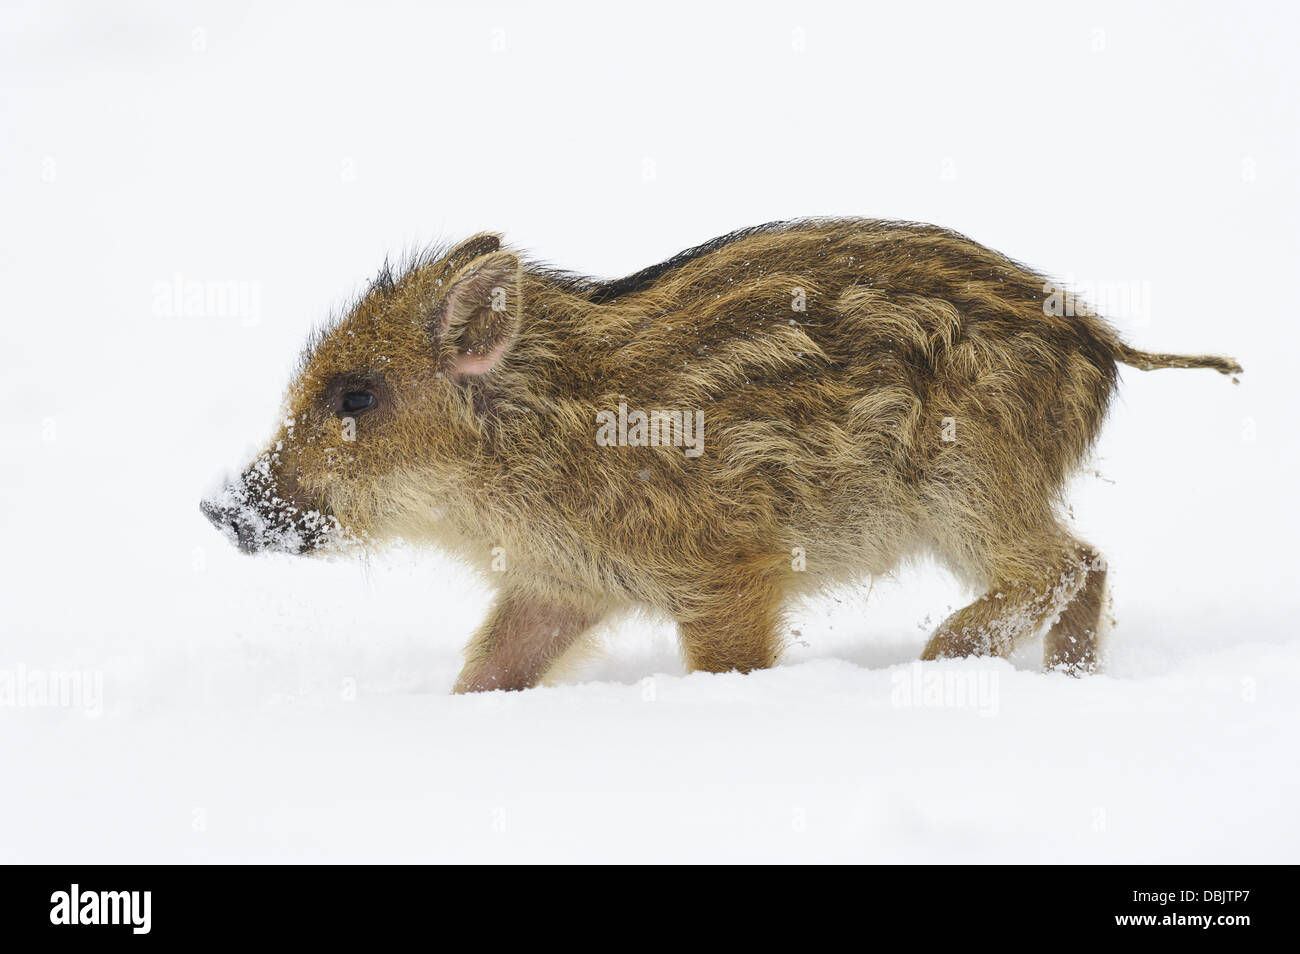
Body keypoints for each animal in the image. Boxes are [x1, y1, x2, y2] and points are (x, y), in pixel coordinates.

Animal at [201, 219, 1241, 691]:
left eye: (357, 397)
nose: (222, 507)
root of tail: (1102, 339)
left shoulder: (728, 569)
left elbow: (728, 668)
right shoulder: (557, 584)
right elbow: (488, 672)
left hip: (970, 488)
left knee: (1062, 563)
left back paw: (939, 663)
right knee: (1089, 563)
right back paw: (1068, 679)